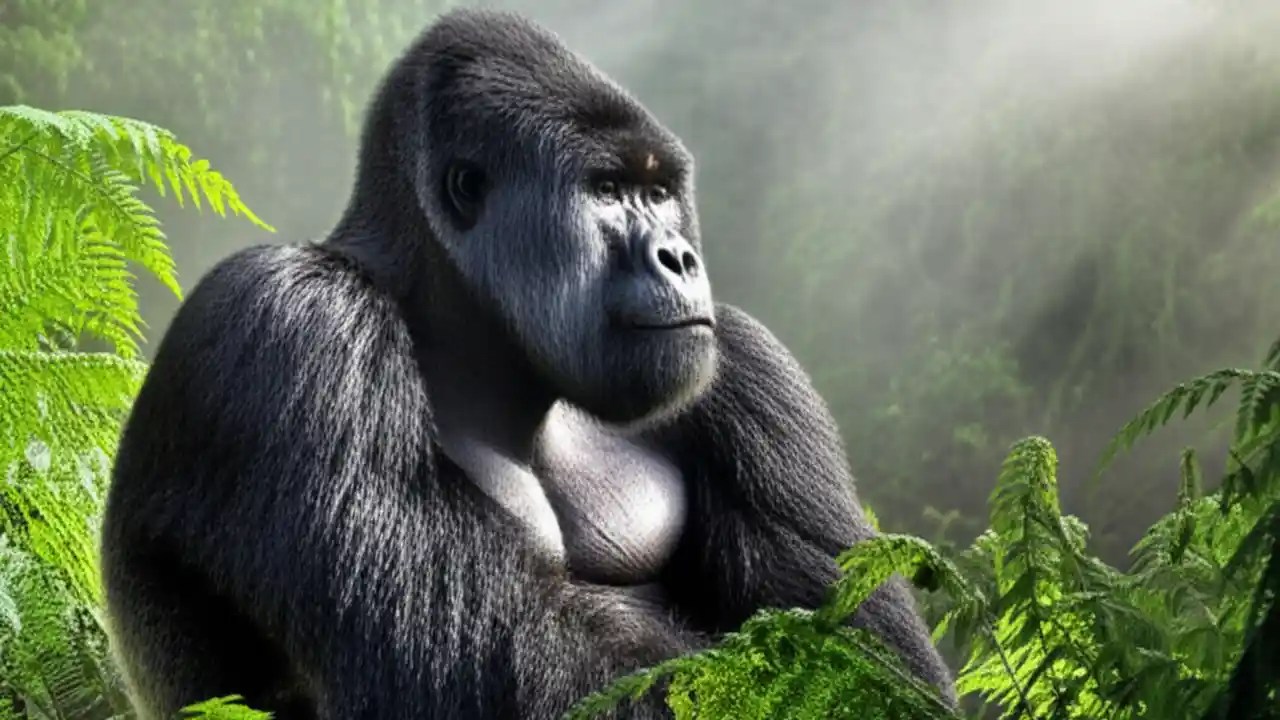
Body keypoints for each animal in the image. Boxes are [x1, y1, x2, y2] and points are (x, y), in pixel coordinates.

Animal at [100, 9, 954, 719]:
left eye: (658, 192)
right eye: (606, 190)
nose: (679, 256)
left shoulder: (747, 366)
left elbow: (872, 659)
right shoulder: (292, 323)